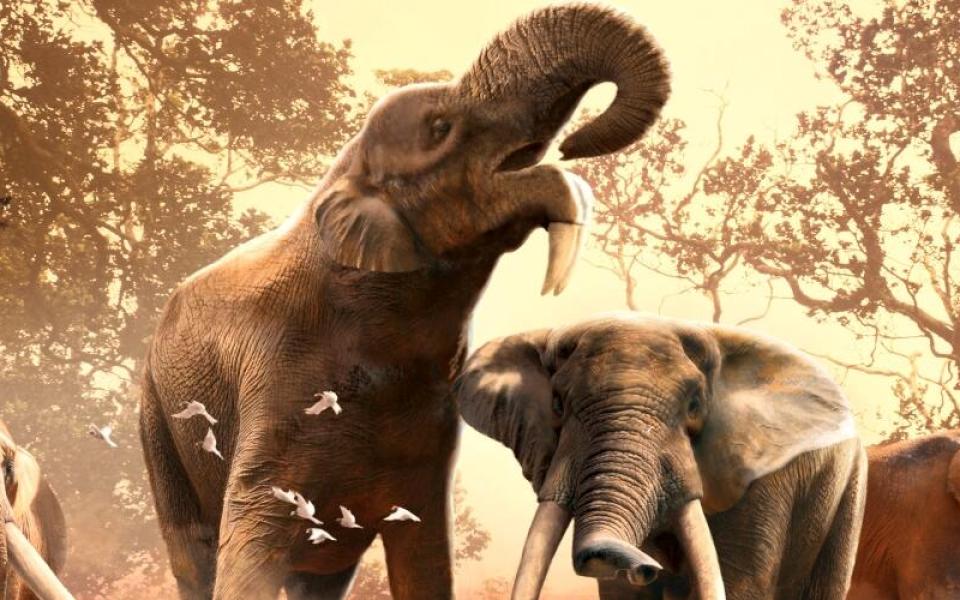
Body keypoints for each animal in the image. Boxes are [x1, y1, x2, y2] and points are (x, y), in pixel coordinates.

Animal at [138, 5, 670, 599]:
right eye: (440, 129)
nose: (574, 144)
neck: (344, 173)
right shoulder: (274, 382)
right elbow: (252, 538)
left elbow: (425, 551)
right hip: (156, 417)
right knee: (193, 552)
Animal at [453, 313, 867, 600]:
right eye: (557, 404)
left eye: (695, 406)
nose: (647, 568)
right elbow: (623, 593)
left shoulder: (763, 482)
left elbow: (739, 581)